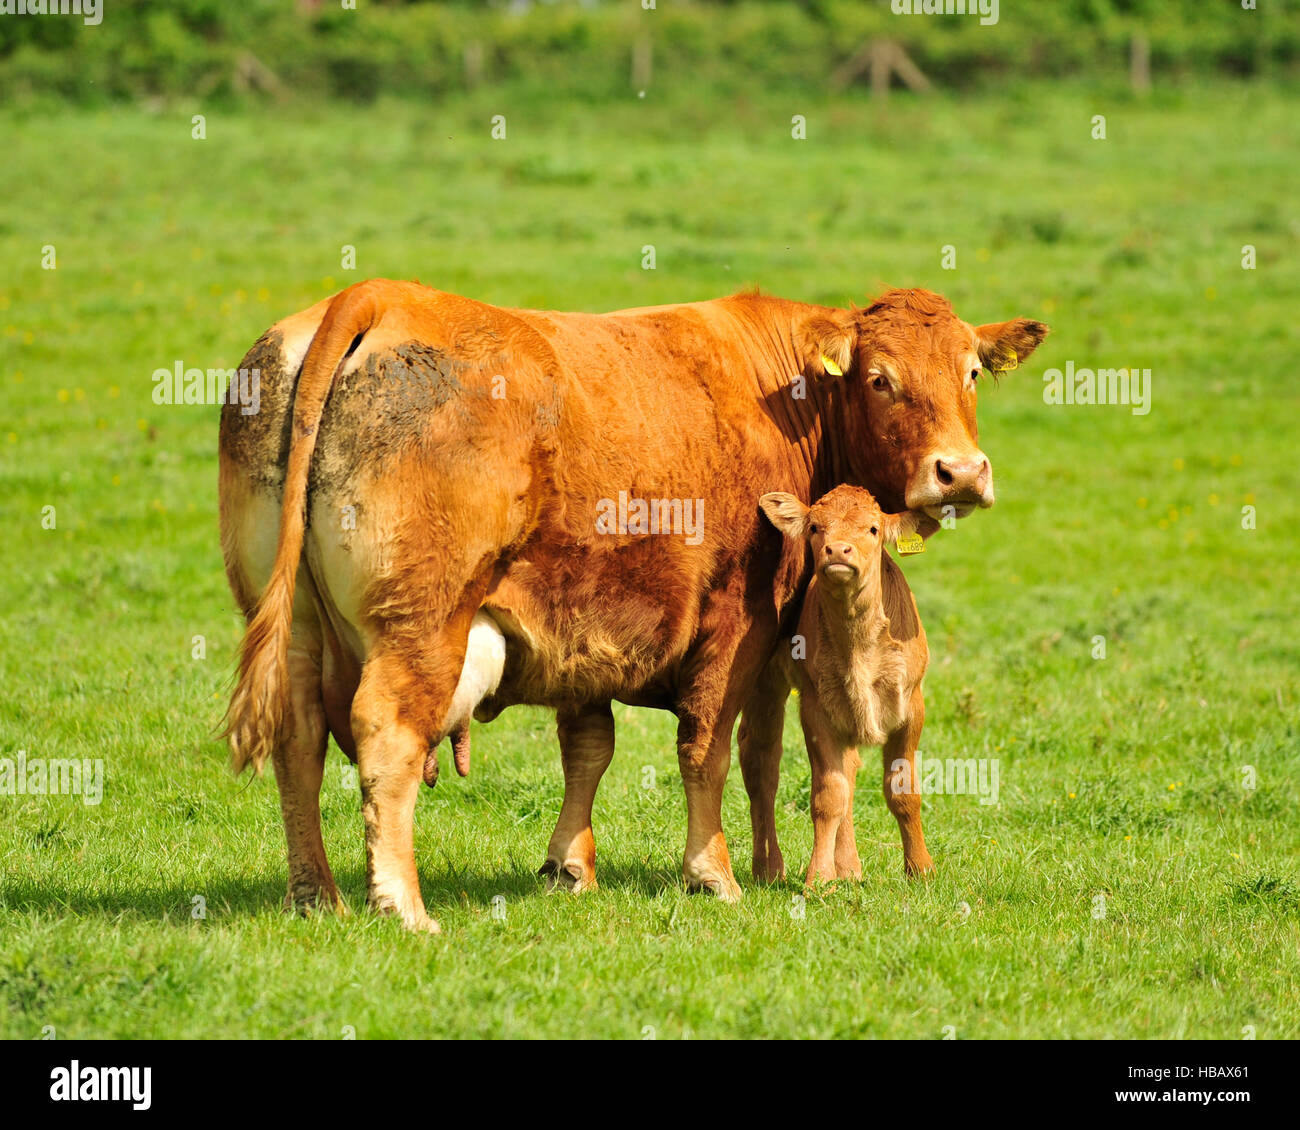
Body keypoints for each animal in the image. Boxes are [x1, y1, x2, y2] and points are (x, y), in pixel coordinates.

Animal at [748, 485, 935, 885]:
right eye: (815, 527)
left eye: (872, 529)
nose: (837, 551)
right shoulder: (815, 709)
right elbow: (828, 795)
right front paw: (820, 878)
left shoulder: (912, 706)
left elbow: (903, 790)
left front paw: (921, 868)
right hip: (764, 684)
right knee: (760, 764)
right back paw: (769, 868)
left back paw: (849, 867)